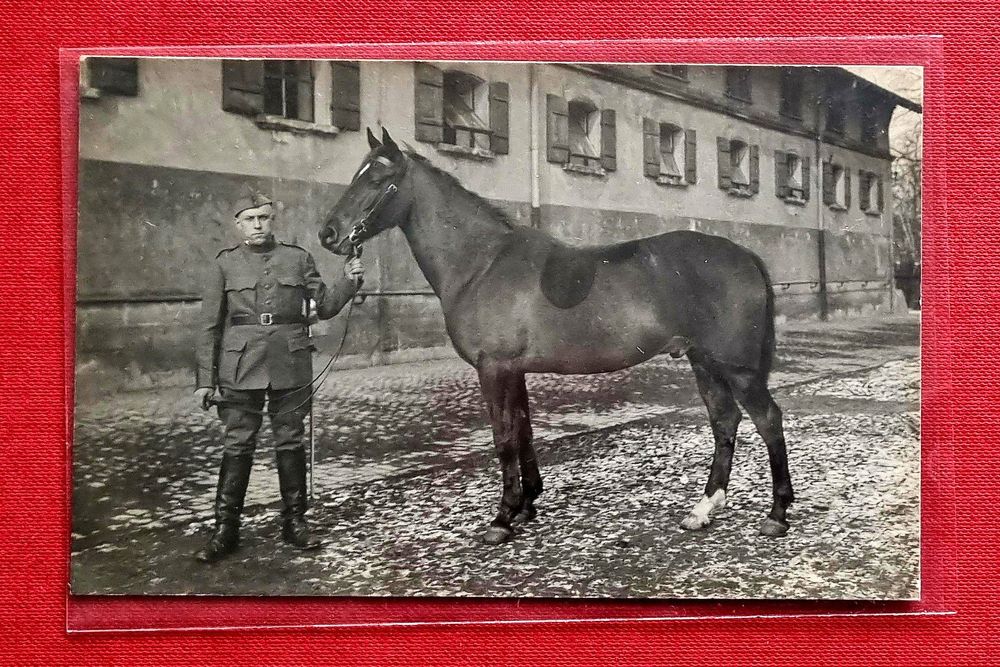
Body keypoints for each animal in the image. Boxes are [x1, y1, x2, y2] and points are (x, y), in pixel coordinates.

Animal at [318, 128, 794, 545]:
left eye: (377, 179)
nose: (329, 234)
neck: (481, 264)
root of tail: (745, 255)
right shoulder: (514, 371)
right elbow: (523, 431)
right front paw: (527, 504)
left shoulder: (494, 368)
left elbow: (504, 438)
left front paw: (503, 518)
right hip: (703, 362)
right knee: (724, 421)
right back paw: (703, 510)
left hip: (737, 368)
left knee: (767, 420)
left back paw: (777, 514)